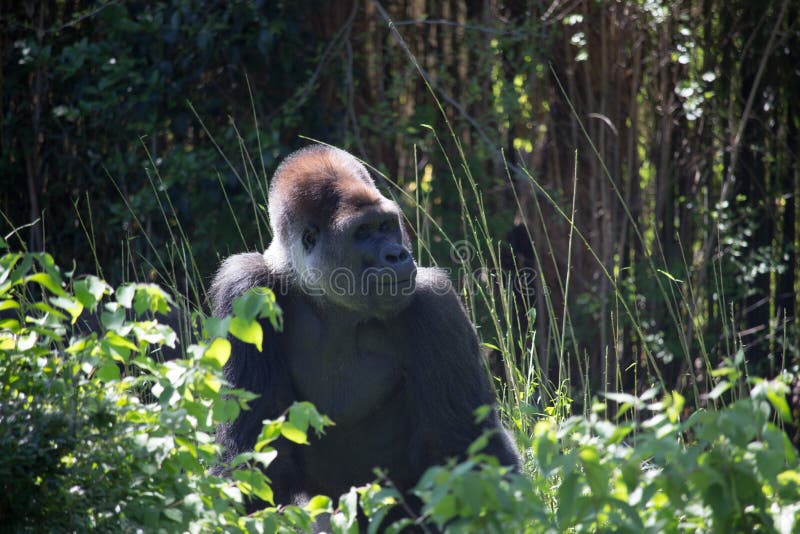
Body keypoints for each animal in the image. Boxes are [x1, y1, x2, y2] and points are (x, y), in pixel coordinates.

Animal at [209, 144, 520, 520]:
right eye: (362, 232)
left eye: (386, 226)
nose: (397, 254)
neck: (327, 300)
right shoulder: (245, 290)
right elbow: (254, 458)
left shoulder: (435, 303)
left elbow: (466, 444)